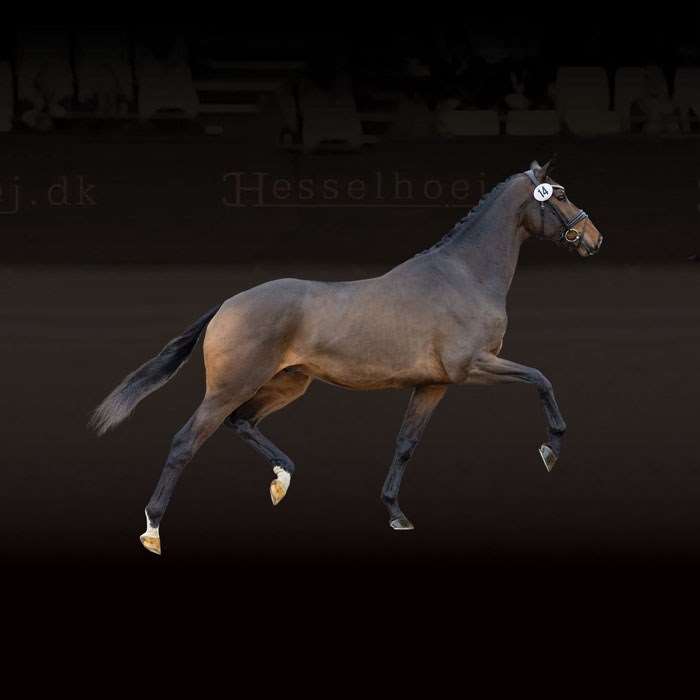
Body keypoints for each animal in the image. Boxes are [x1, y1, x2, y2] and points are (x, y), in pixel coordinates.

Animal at [91, 159, 603, 555]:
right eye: (559, 195)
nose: (594, 238)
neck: (464, 276)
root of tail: (227, 304)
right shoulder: (472, 366)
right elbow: (541, 378)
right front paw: (550, 450)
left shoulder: (433, 384)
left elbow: (406, 444)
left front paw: (396, 514)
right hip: (230, 387)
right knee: (186, 441)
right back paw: (152, 531)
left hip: (289, 383)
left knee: (243, 422)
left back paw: (282, 479)